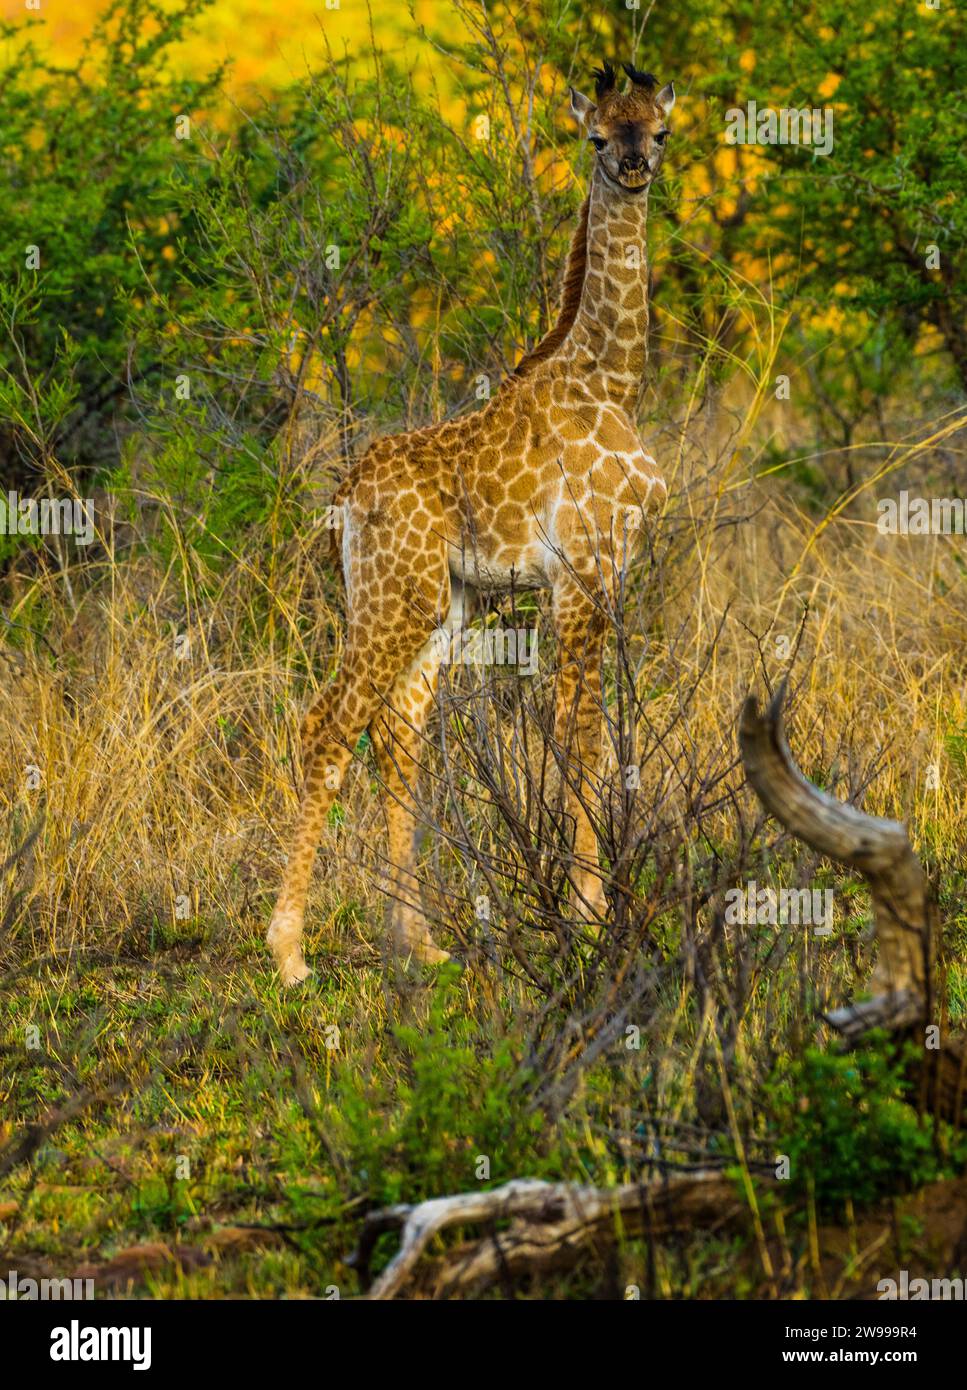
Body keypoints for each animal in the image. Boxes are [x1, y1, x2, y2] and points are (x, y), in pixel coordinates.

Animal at [267, 61, 675, 984]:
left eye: (659, 131)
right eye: (595, 136)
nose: (632, 169)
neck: (612, 379)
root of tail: (342, 501)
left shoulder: (602, 577)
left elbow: (586, 738)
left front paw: (586, 909)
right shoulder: (580, 572)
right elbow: (577, 736)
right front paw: (589, 918)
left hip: (443, 607)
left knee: (396, 730)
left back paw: (417, 941)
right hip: (395, 598)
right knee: (327, 725)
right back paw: (290, 954)